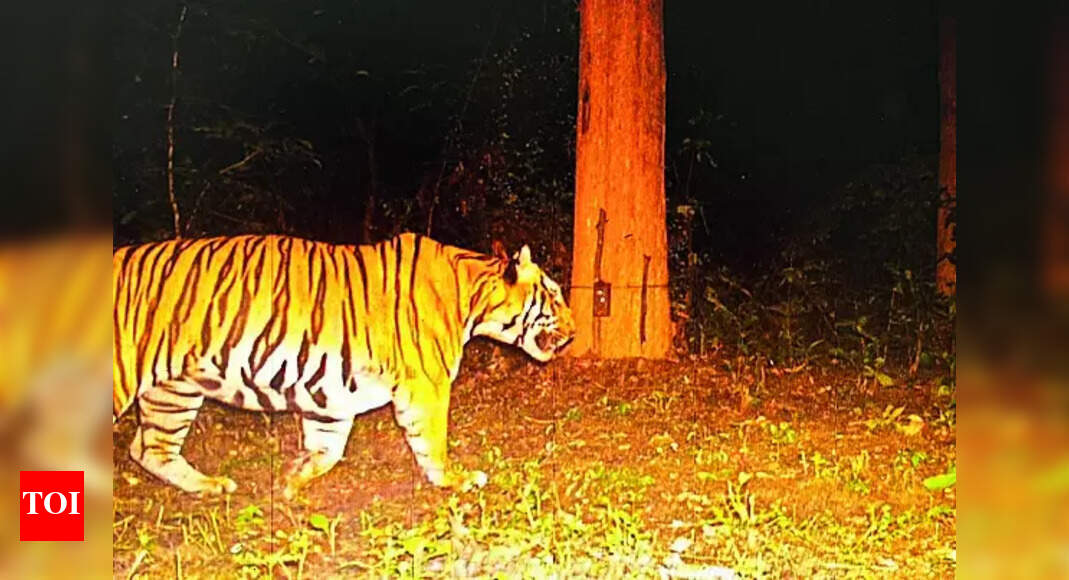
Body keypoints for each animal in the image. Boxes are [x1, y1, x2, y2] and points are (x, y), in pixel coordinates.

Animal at [112, 232, 575, 498]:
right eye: (553, 294)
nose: (573, 331)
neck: (472, 295)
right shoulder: (426, 385)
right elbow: (433, 443)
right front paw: (455, 481)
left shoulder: (329, 395)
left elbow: (327, 449)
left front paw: (291, 481)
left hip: (174, 390)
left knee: (150, 449)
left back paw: (211, 487)